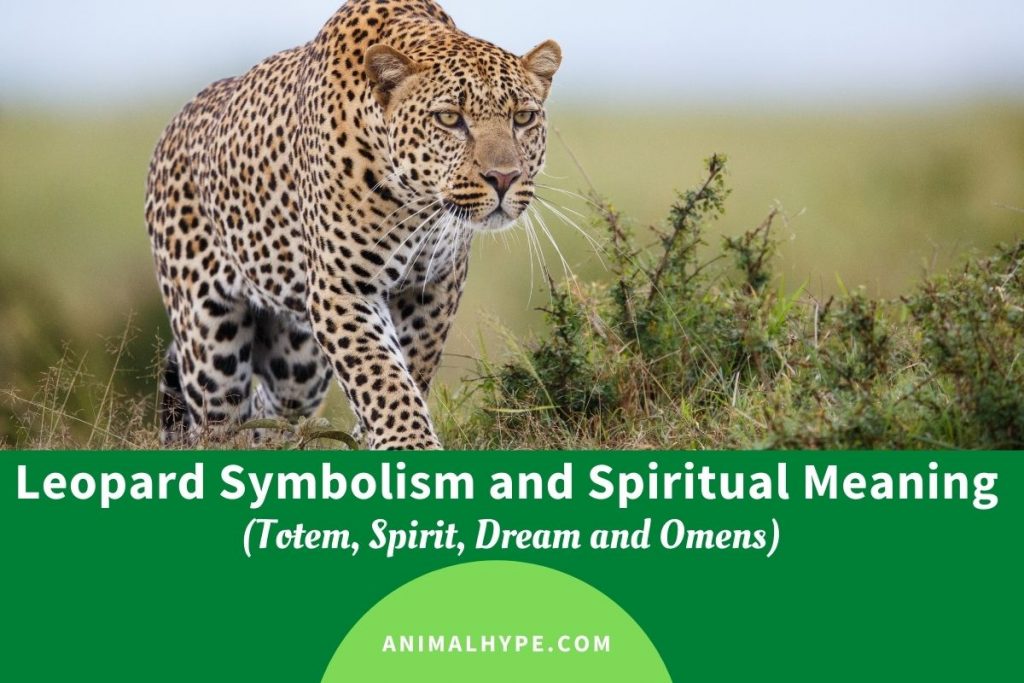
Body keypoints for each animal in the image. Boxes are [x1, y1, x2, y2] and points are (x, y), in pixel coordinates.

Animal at [145, 0, 562, 450]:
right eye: (450, 119)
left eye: (523, 117)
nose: (504, 178)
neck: (416, 202)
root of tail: (174, 125)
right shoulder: (342, 288)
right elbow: (380, 373)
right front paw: (409, 445)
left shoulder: (434, 285)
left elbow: (410, 365)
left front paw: (371, 436)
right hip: (209, 341)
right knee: (218, 422)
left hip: (298, 364)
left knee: (268, 413)